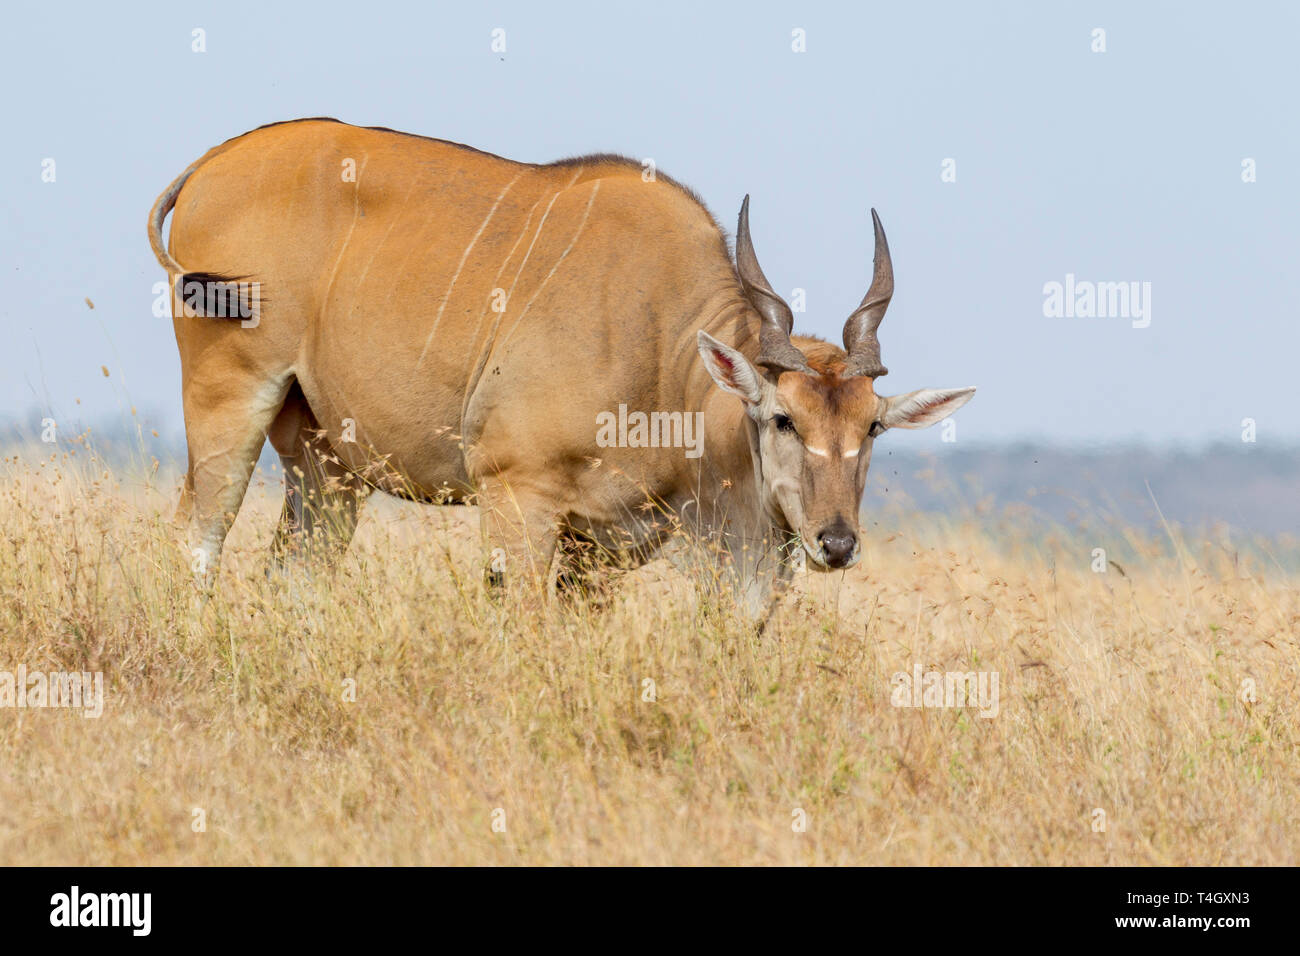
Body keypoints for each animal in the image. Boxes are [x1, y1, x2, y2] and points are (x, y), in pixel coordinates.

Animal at [148, 118, 974, 617]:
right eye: (782, 418)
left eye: (872, 428)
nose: (836, 543)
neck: (662, 347)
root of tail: (210, 162)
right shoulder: (518, 499)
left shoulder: (603, 548)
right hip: (229, 398)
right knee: (197, 536)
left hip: (327, 467)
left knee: (295, 575)